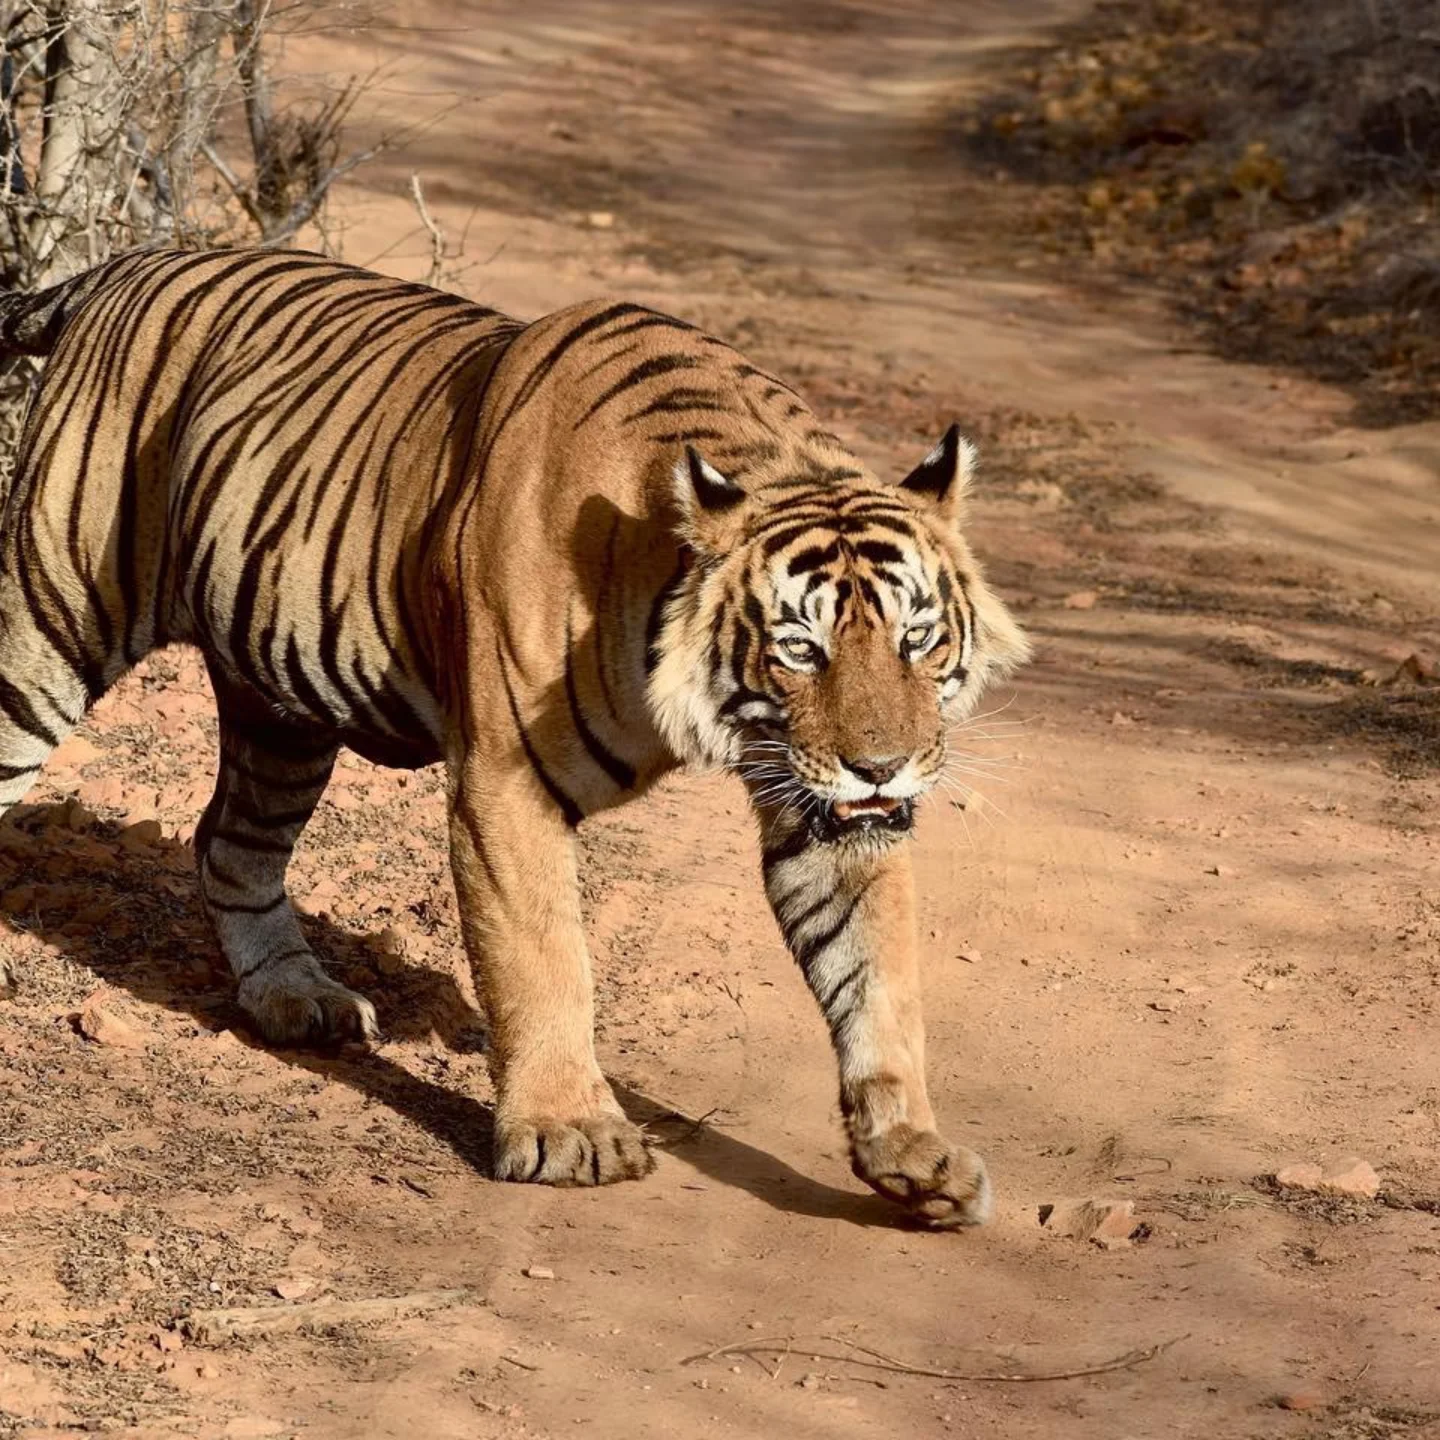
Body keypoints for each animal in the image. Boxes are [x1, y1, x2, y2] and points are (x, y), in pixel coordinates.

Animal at [0, 246, 1029, 1227]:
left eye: (919, 639)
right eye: (800, 650)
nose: (881, 767)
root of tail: (124, 267)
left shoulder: (820, 809)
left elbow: (877, 976)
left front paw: (912, 1156)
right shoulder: (505, 782)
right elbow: (544, 959)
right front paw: (570, 1131)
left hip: (279, 705)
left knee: (230, 844)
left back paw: (298, 999)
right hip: (53, 623)